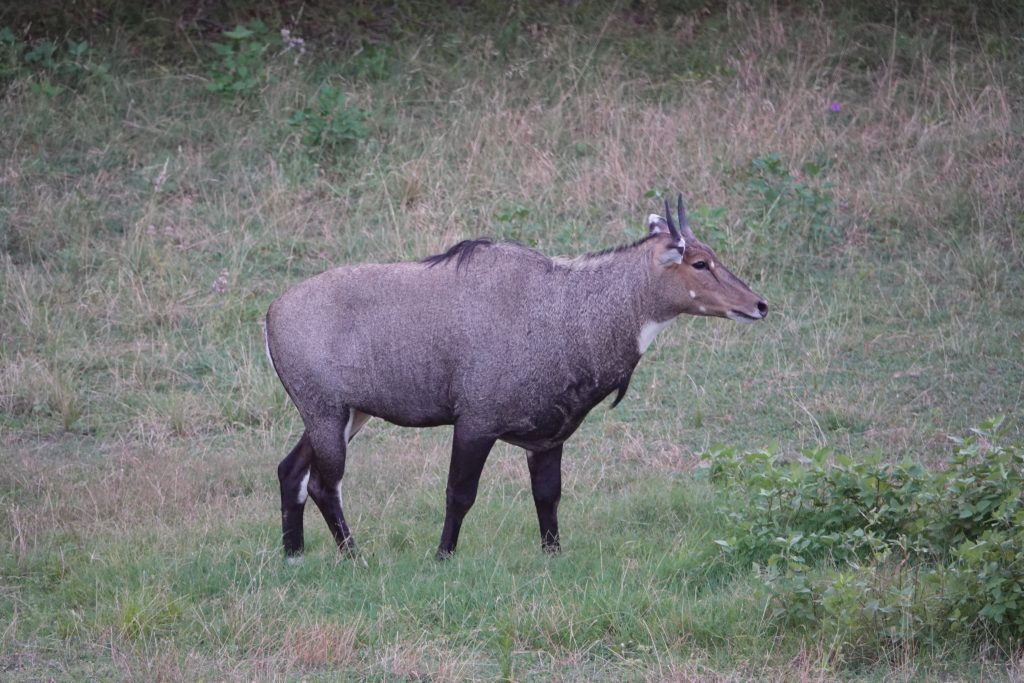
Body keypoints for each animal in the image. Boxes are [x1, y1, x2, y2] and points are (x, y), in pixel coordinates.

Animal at [264, 196, 767, 561]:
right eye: (699, 263)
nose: (760, 305)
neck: (566, 308)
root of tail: (271, 312)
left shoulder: (549, 437)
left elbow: (548, 496)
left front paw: (553, 555)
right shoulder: (475, 423)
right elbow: (460, 494)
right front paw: (443, 556)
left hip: (348, 415)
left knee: (291, 470)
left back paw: (295, 554)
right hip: (327, 412)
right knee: (324, 484)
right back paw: (354, 556)